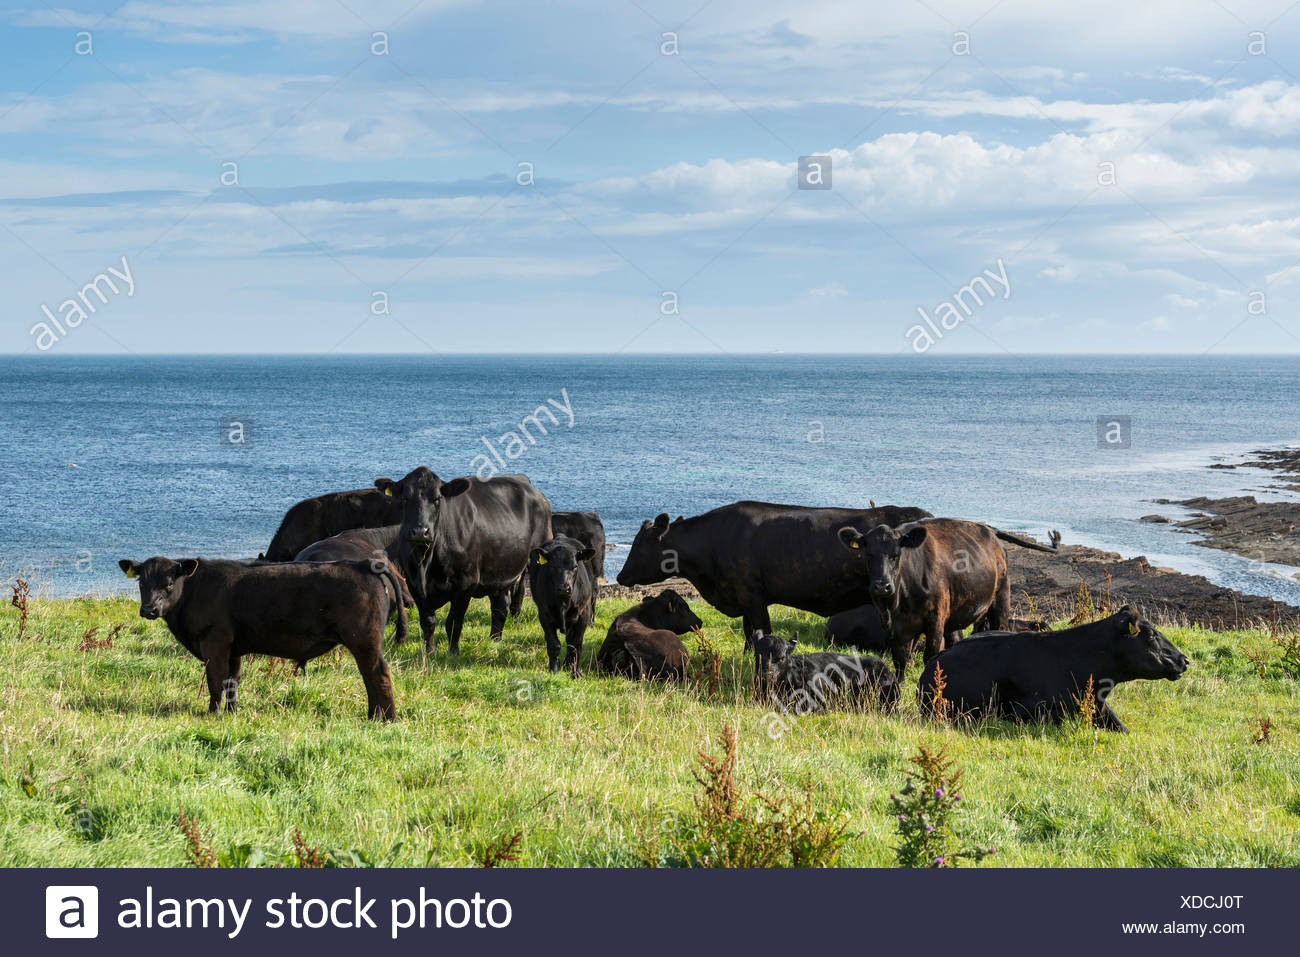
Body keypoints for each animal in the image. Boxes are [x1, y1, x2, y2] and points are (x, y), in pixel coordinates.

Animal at [118, 556, 405, 720]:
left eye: (168, 584)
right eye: (141, 583)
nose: (148, 610)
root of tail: (363, 564)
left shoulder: (214, 642)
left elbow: (215, 681)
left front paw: (212, 714)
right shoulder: (233, 648)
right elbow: (231, 682)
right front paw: (231, 714)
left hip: (364, 641)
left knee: (379, 674)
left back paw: (386, 718)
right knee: (369, 678)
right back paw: (373, 715)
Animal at [373, 466, 552, 653]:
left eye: (437, 499)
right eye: (405, 498)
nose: (420, 532)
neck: (426, 563)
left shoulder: (466, 584)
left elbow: (454, 622)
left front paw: (453, 653)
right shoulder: (413, 583)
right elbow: (427, 621)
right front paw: (430, 651)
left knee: (516, 599)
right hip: (499, 570)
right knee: (500, 607)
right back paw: (494, 640)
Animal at [528, 535, 596, 676]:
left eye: (575, 566)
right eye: (552, 566)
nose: (564, 588)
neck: (563, 603)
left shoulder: (584, 614)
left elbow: (575, 645)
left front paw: (575, 672)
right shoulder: (544, 614)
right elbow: (554, 644)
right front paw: (554, 670)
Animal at [837, 518, 1060, 679]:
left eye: (896, 554)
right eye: (868, 554)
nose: (882, 586)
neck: (899, 601)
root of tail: (989, 530)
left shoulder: (935, 620)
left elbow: (930, 656)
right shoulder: (891, 625)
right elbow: (901, 661)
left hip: (1001, 599)